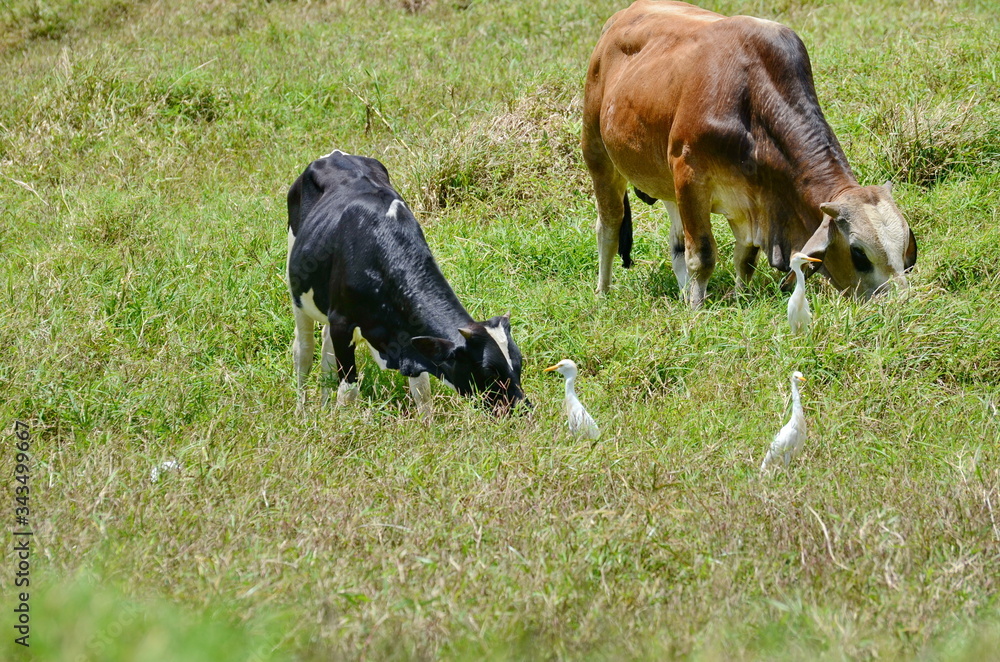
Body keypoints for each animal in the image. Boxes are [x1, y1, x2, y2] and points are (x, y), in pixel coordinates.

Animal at [286, 150, 528, 417]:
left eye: (519, 363)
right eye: (488, 372)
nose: (522, 410)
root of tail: (336, 154)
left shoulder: (408, 336)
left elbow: (422, 392)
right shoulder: (342, 323)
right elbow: (348, 392)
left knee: (325, 353)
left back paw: (323, 404)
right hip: (297, 291)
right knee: (303, 351)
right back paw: (301, 410)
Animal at [582, 0, 917, 307]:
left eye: (903, 249)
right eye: (859, 254)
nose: (898, 304)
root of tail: (618, 17)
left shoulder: (750, 201)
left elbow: (745, 258)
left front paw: (737, 297)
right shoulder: (690, 176)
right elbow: (702, 255)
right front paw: (696, 310)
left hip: (666, 179)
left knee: (676, 244)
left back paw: (681, 292)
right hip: (597, 152)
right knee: (609, 226)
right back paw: (603, 293)